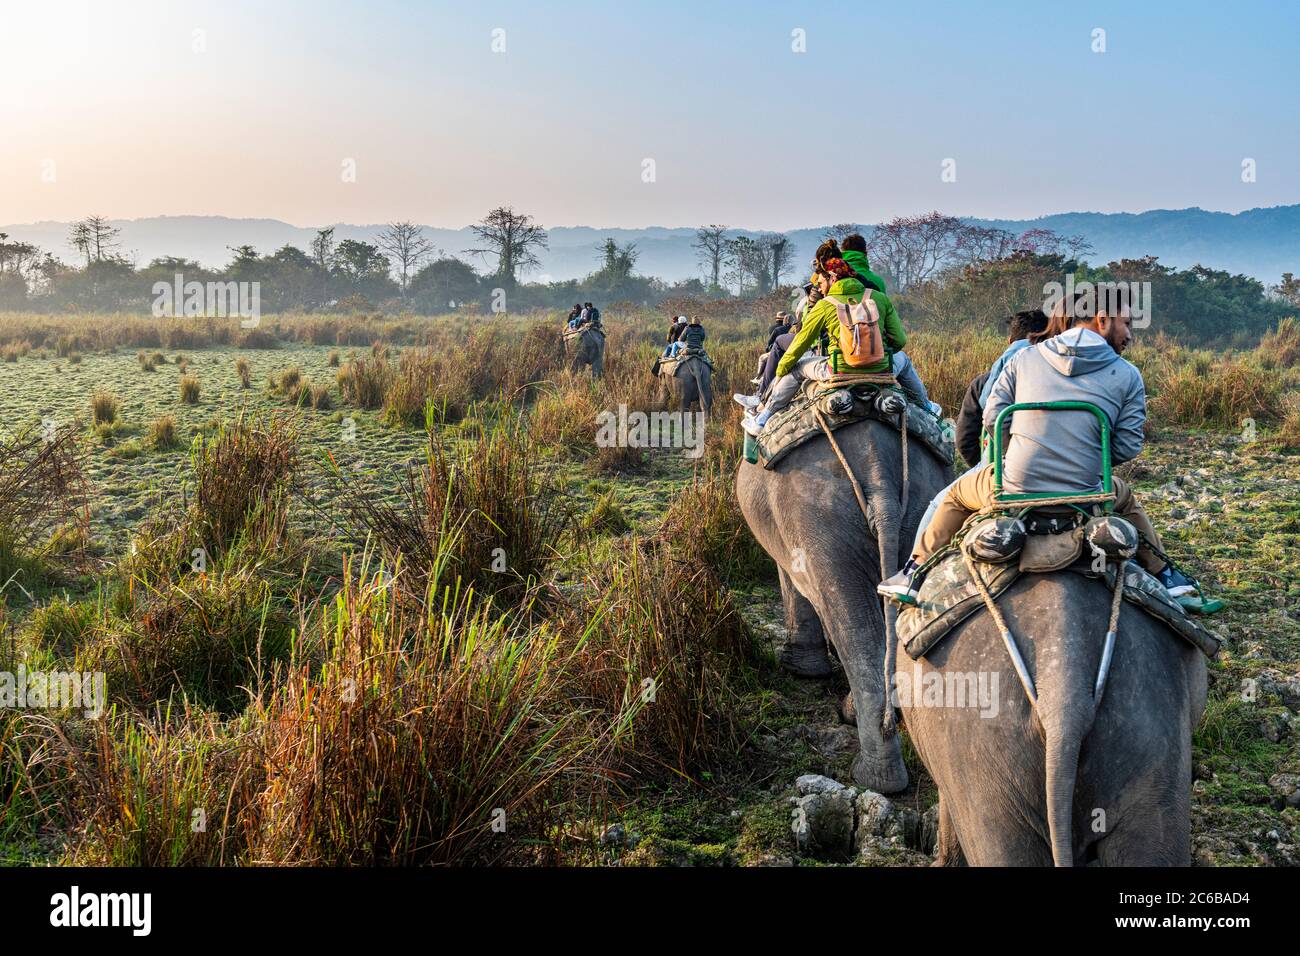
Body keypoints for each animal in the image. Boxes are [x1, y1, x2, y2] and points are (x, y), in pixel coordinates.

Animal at [737, 414, 951, 793]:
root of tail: (879, 478)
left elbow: (791, 579)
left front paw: (799, 671)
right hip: (922, 512)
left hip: (817, 518)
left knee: (851, 620)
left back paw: (874, 777)